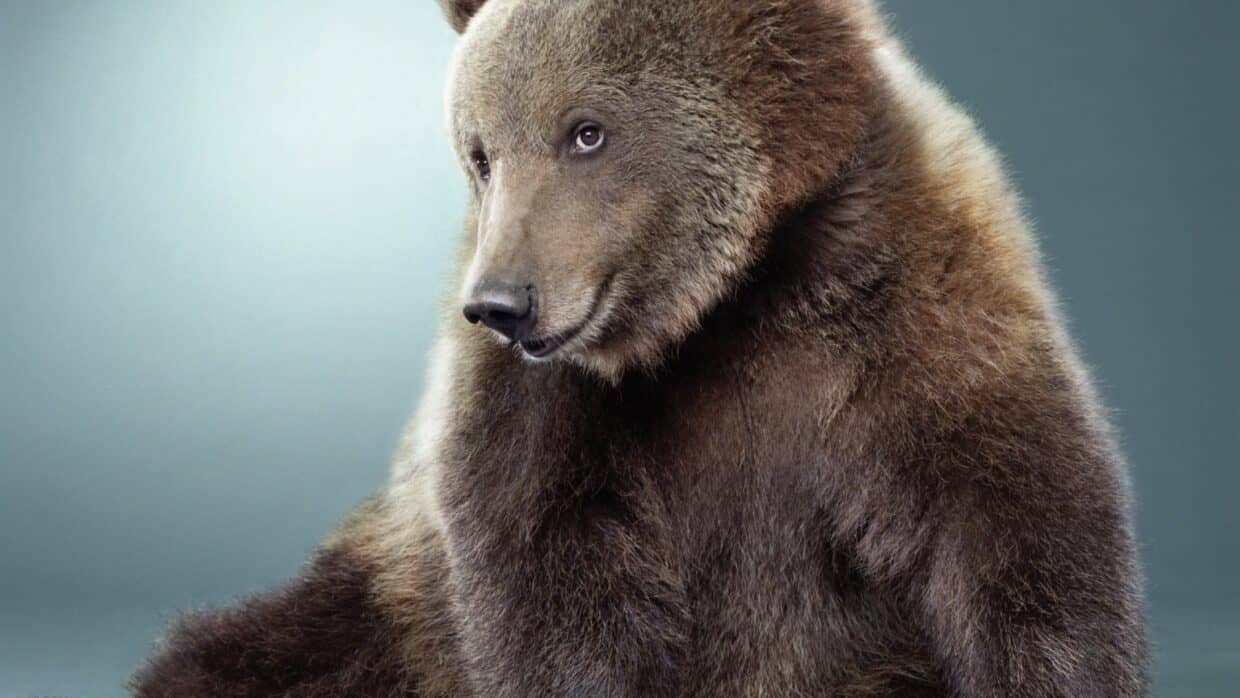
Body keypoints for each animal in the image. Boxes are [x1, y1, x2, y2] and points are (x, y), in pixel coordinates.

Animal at [130, 0, 1148, 695]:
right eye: (480, 150)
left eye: (586, 131)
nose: (500, 303)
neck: (731, 301)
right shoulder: (543, 409)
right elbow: (545, 565)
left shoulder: (914, 308)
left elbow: (1013, 531)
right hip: (383, 599)